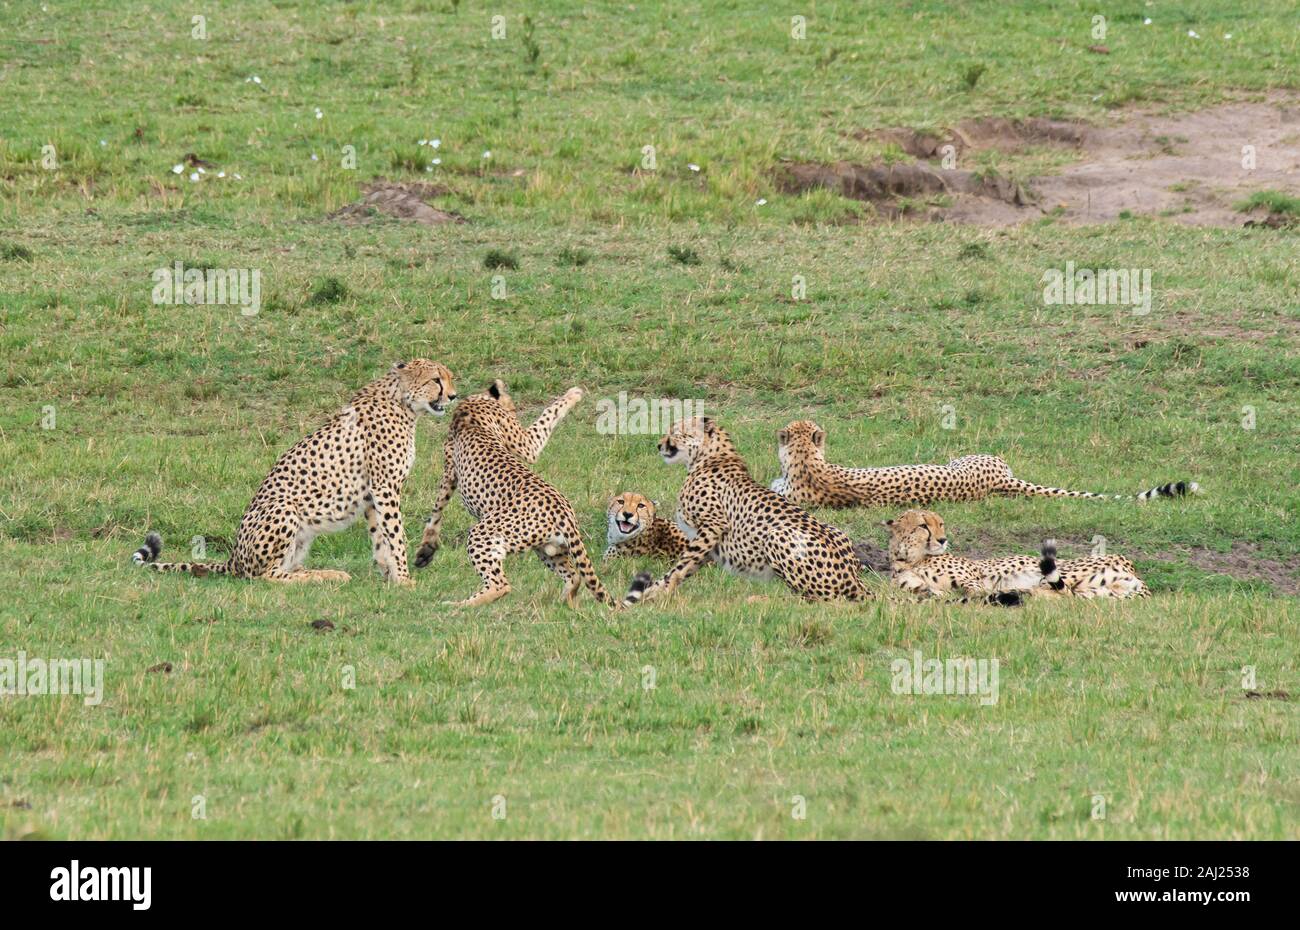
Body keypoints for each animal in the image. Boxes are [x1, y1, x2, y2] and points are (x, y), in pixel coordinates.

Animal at [132, 359, 456, 584]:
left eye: (449, 377)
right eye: (436, 379)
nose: (453, 396)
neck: (403, 403)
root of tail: (233, 558)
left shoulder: (373, 494)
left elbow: (380, 537)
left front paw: (389, 575)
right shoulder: (385, 487)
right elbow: (396, 535)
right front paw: (404, 578)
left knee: (287, 566)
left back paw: (326, 573)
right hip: (286, 509)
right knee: (266, 575)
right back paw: (321, 577)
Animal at [412, 380, 630, 608]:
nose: (515, 411)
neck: (478, 399)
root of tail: (563, 510)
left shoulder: (454, 470)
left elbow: (438, 506)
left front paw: (573, 394)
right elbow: (437, 509)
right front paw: (426, 549)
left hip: (486, 534)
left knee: (501, 584)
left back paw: (459, 605)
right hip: (546, 547)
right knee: (573, 575)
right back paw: (562, 602)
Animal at [621, 417, 871, 606]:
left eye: (676, 432)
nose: (659, 445)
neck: (708, 457)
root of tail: (854, 578)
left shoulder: (713, 525)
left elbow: (681, 565)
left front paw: (656, 591)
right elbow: (690, 564)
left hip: (777, 535)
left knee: (819, 599)